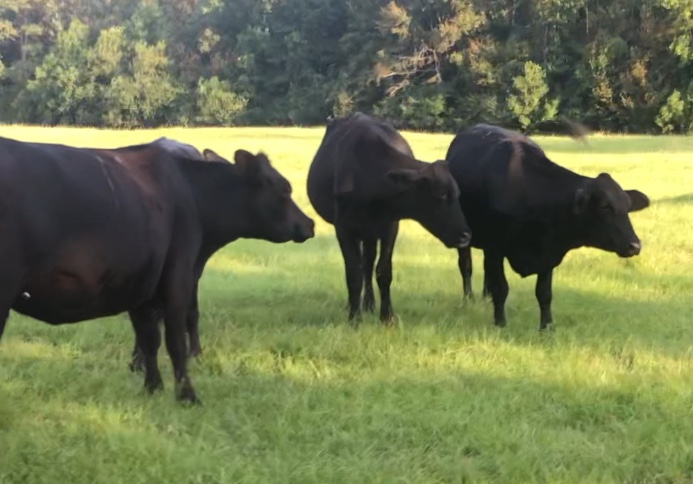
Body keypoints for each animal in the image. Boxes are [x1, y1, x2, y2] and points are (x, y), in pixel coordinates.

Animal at [0, 136, 315, 404]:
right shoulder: (178, 277)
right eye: (284, 188)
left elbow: (149, 339)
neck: (191, 194)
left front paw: (153, 387)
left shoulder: (142, 284)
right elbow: (175, 340)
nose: (309, 224)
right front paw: (187, 396)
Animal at [307, 112, 472, 324]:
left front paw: (387, 317)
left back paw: (369, 304)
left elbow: (383, 271)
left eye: (457, 193)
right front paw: (354, 318)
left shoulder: (390, 226)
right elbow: (353, 274)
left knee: (368, 264)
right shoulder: (343, 228)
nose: (465, 236)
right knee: (363, 266)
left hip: (371, 233)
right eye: (441, 194)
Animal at [444, 124, 650, 330]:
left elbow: (544, 293)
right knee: (466, 266)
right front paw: (501, 323)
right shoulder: (495, 247)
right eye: (604, 207)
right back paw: (468, 299)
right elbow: (501, 287)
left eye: (627, 206)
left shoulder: (549, 252)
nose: (635, 245)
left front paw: (547, 327)